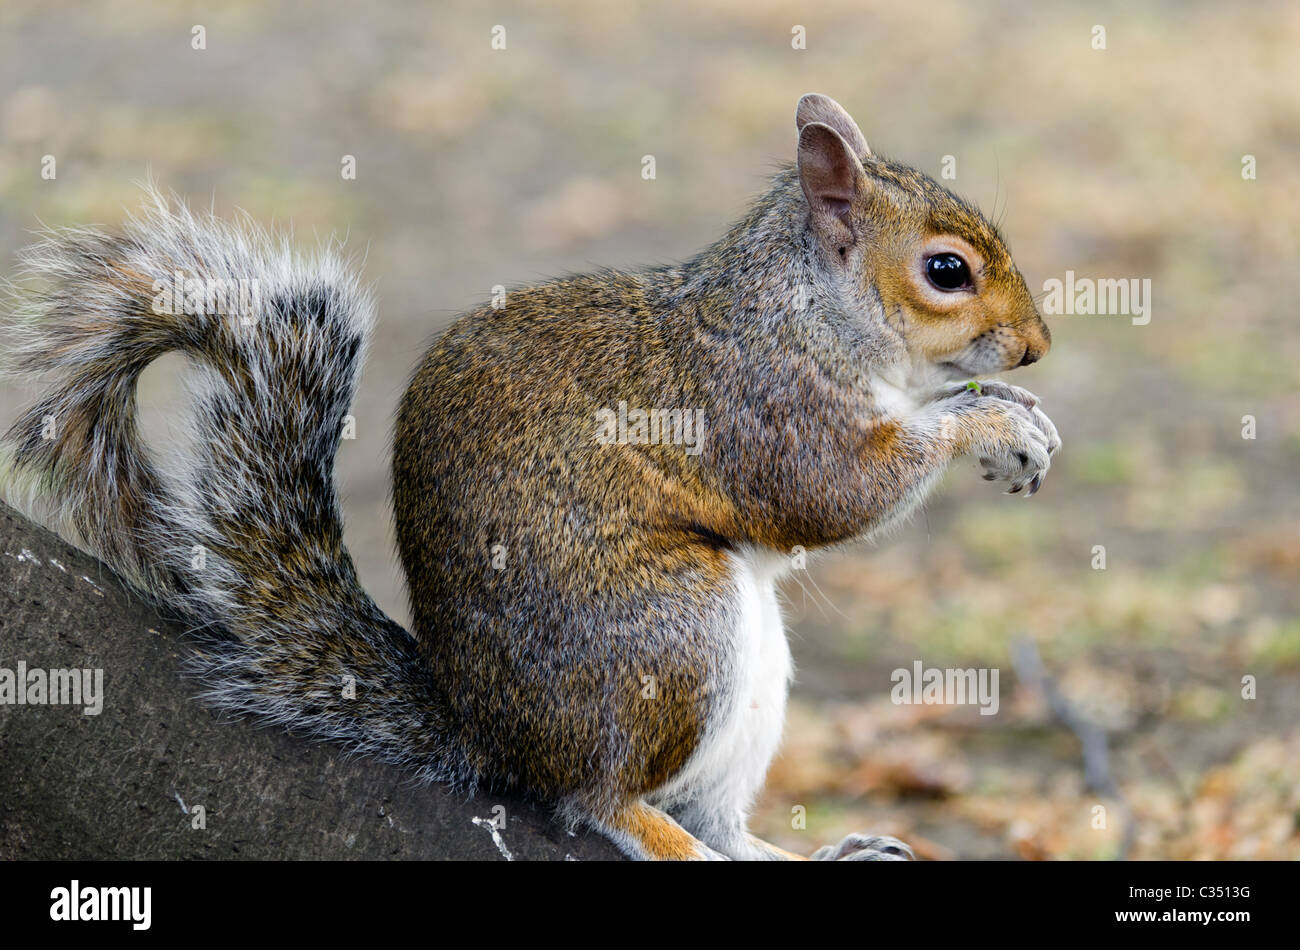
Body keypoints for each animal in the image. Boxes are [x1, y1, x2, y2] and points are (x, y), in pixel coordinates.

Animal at [1, 94, 1058, 861]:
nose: (1038, 349)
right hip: (671, 633)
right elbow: (830, 494)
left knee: (709, 809)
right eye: (947, 270)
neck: (803, 306)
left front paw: (1014, 411)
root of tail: (490, 730)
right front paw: (989, 420)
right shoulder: (760, 404)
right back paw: (664, 837)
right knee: (594, 796)